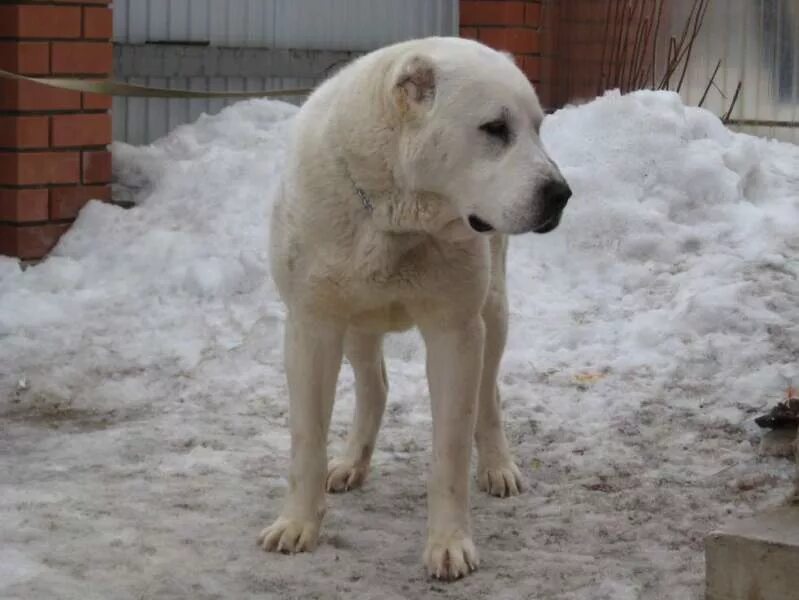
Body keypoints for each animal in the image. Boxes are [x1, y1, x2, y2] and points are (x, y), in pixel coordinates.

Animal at [260, 35, 572, 580]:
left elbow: (450, 448)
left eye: (538, 128)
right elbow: (306, 439)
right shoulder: (312, 327)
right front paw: (298, 523)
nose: (561, 194)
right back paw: (353, 462)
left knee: (488, 393)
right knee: (375, 386)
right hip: (356, 325)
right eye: (495, 129)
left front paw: (449, 543)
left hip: (493, 313)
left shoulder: (456, 332)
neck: (394, 215)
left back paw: (497, 466)